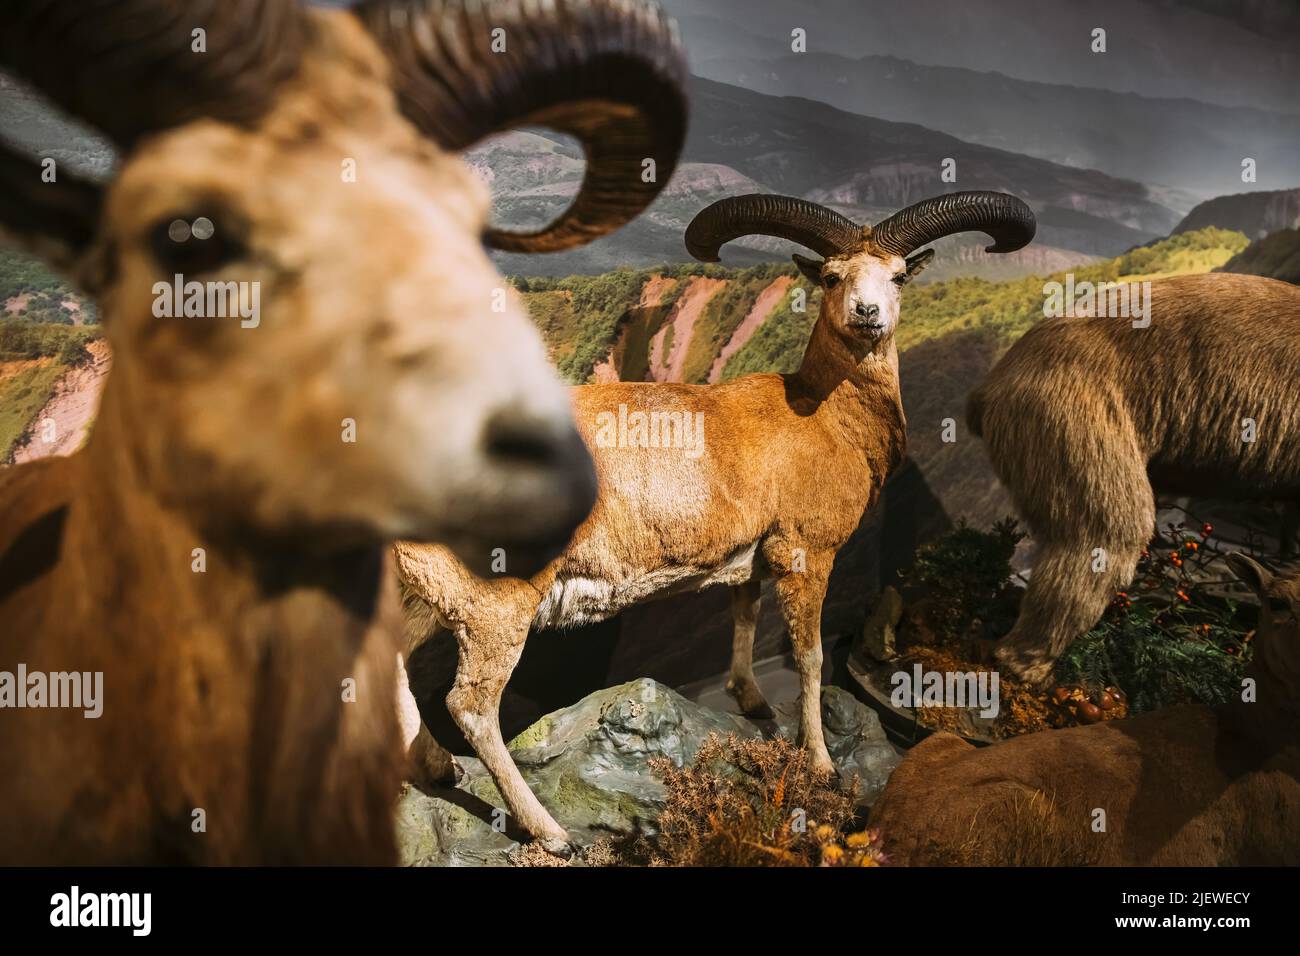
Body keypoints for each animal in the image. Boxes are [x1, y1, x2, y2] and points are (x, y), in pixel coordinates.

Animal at [396, 191, 1036, 850]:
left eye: (899, 275)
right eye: (833, 276)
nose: (867, 313)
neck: (826, 416)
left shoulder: (752, 558)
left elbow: (744, 614)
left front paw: (751, 701)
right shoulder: (807, 554)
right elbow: (809, 657)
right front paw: (822, 765)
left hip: (426, 595)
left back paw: (435, 768)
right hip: (494, 609)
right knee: (471, 707)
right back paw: (551, 832)